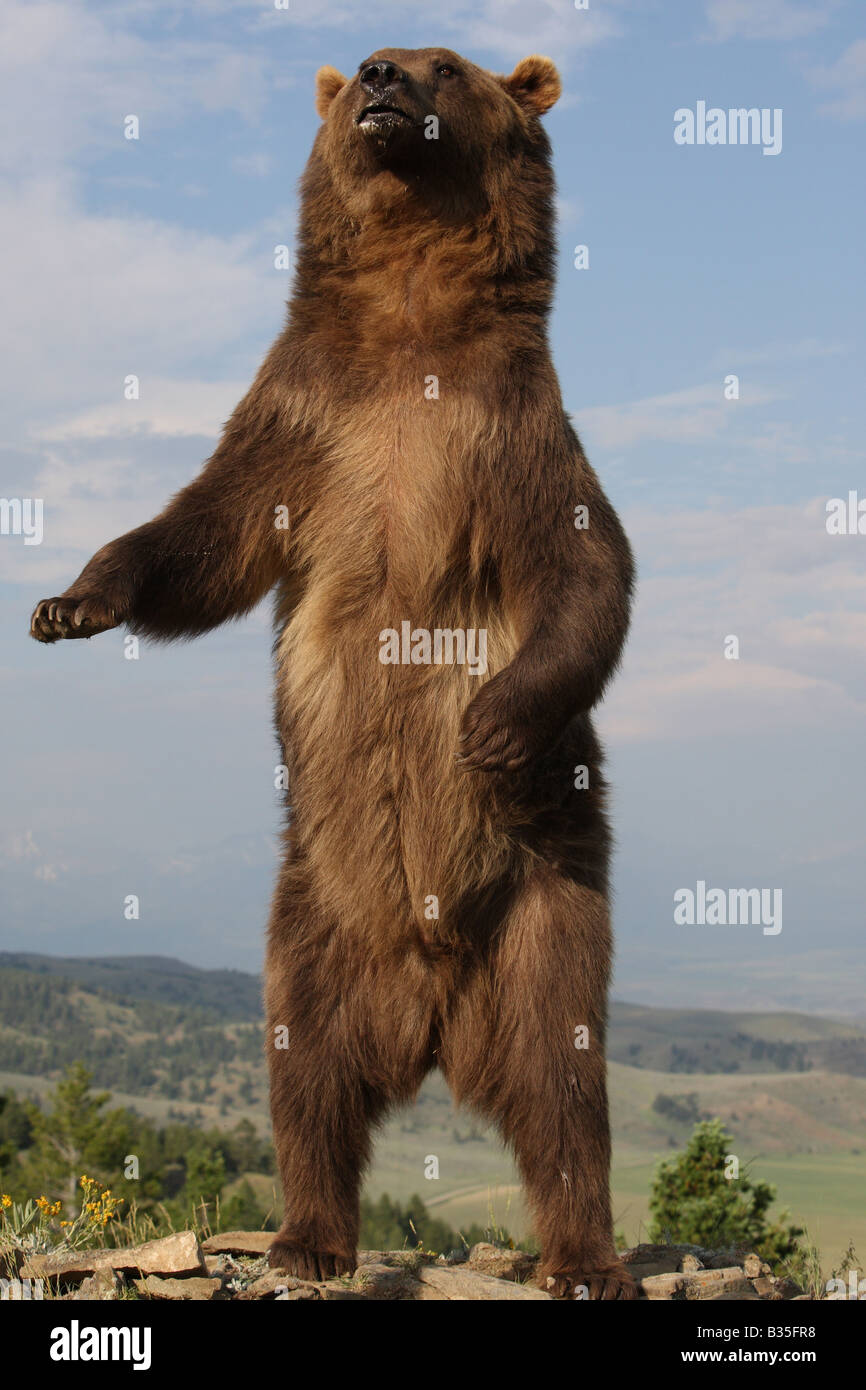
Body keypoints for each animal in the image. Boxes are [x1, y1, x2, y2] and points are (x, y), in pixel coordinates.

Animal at [30, 47, 636, 1299]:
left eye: (446, 65)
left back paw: (584, 1255)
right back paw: (308, 1235)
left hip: (544, 902)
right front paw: (71, 599)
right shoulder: (303, 424)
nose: (379, 75)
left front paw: (490, 724)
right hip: (313, 916)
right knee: (307, 1076)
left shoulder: (510, 439)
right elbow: (201, 537)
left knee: (563, 1083)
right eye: (370, 56)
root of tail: (435, 1014)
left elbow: (585, 572)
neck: (408, 329)